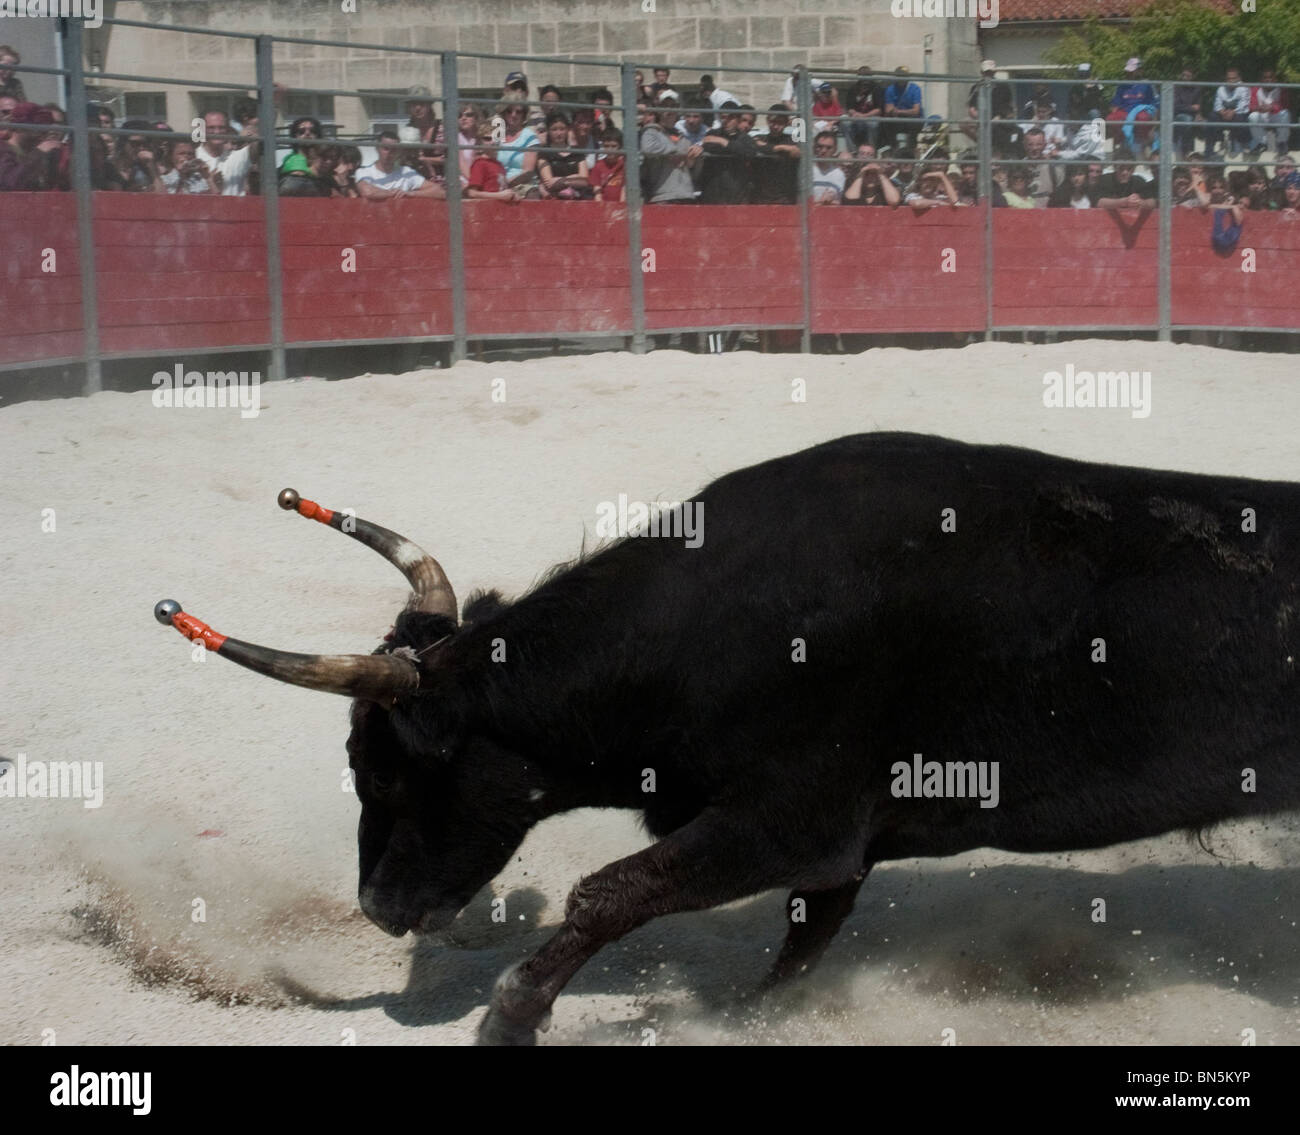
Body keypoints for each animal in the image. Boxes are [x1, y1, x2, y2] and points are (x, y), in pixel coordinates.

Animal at [154, 432, 1300, 1045]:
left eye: (383, 769)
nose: (379, 908)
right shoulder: (832, 848)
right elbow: (799, 944)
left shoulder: (788, 821)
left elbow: (607, 893)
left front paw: (511, 1015)